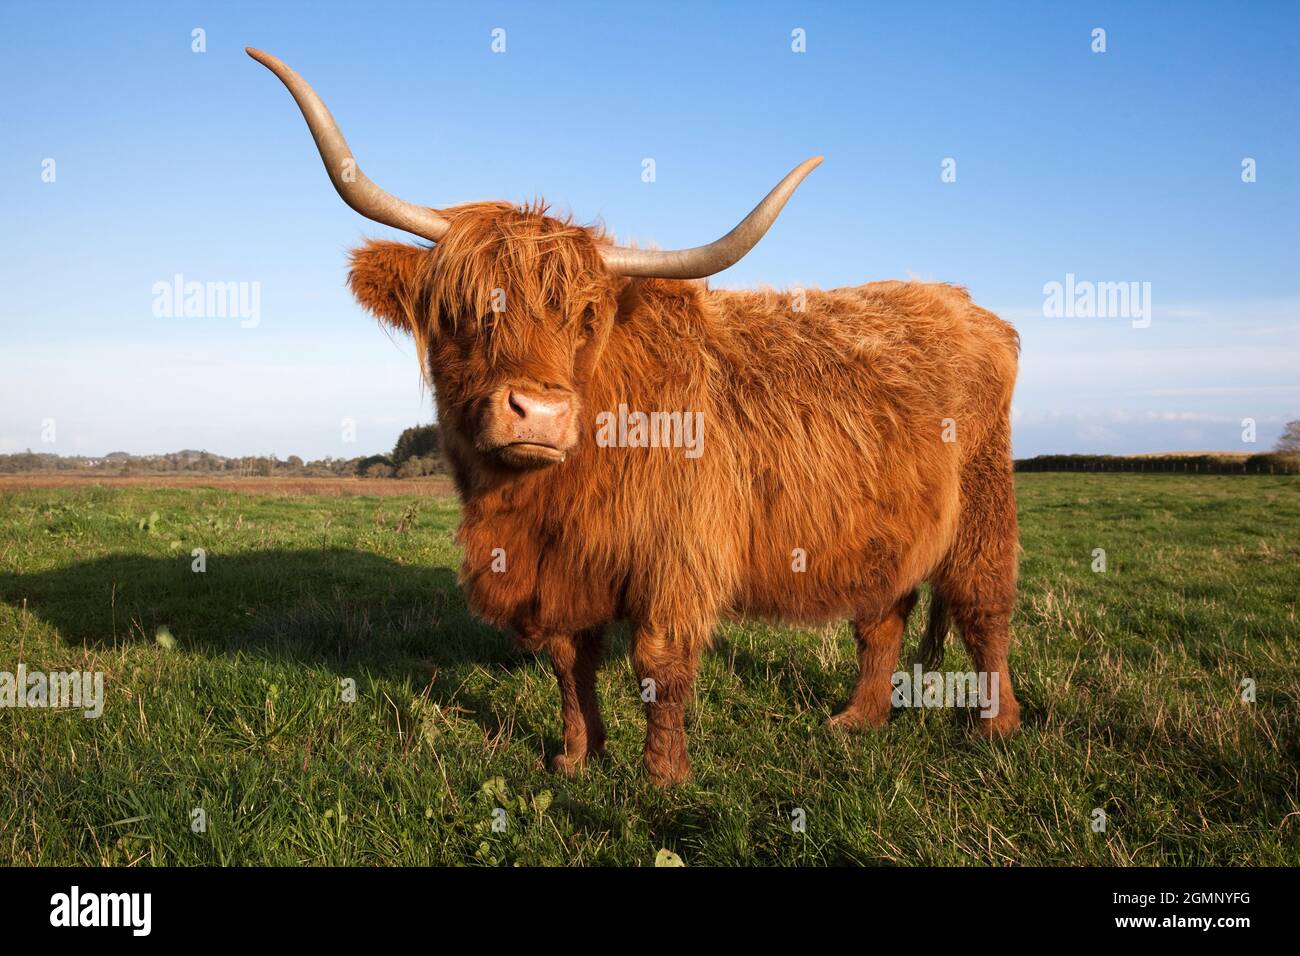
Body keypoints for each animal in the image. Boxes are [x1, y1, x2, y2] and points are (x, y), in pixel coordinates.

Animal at [250, 48, 1022, 785]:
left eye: (586, 318)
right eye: (466, 309)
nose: (539, 411)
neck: (539, 503)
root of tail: (964, 305)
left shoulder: (680, 553)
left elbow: (659, 664)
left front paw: (663, 776)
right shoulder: (560, 576)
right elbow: (570, 662)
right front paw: (575, 756)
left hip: (984, 510)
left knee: (985, 610)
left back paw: (996, 727)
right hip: (887, 529)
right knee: (884, 615)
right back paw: (859, 720)